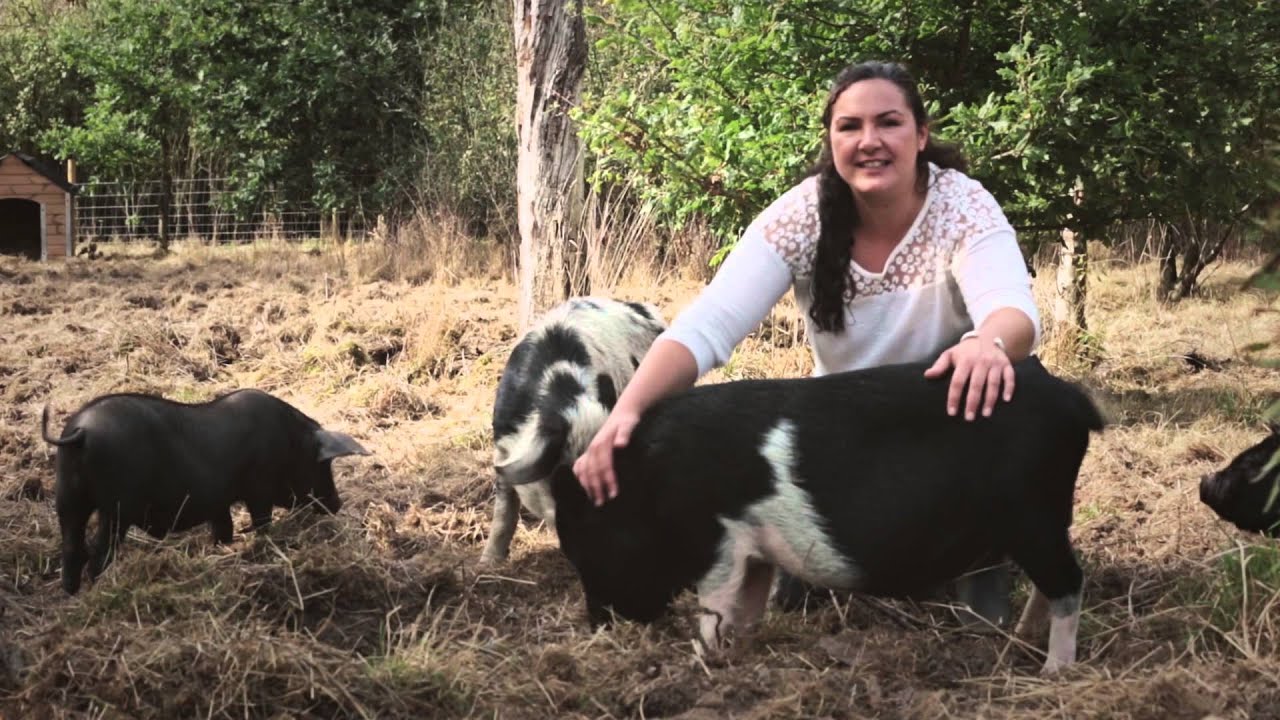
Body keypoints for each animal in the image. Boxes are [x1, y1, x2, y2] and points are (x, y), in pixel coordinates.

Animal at [42, 389, 370, 594]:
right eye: (323, 466)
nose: (336, 504)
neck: (291, 443)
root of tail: (81, 432)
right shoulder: (259, 491)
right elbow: (261, 522)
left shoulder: (218, 502)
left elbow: (223, 529)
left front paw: (221, 548)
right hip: (116, 508)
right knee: (99, 552)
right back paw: (99, 587)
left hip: (68, 500)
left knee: (72, 548)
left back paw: (72, 594)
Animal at [550, 355, 1105, 675]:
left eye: (589, 542)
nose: (599, 622)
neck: (648, 483)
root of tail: (1071, 397)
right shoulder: (754, 546)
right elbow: (749, 602)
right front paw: (738, 651)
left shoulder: (717, 541)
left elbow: (716, 603)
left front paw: (702, 658)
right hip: (1039, 522)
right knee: (1051, 585)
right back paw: (1022, 642)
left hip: (1034, 515)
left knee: (1070, 582)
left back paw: (1054, 672)